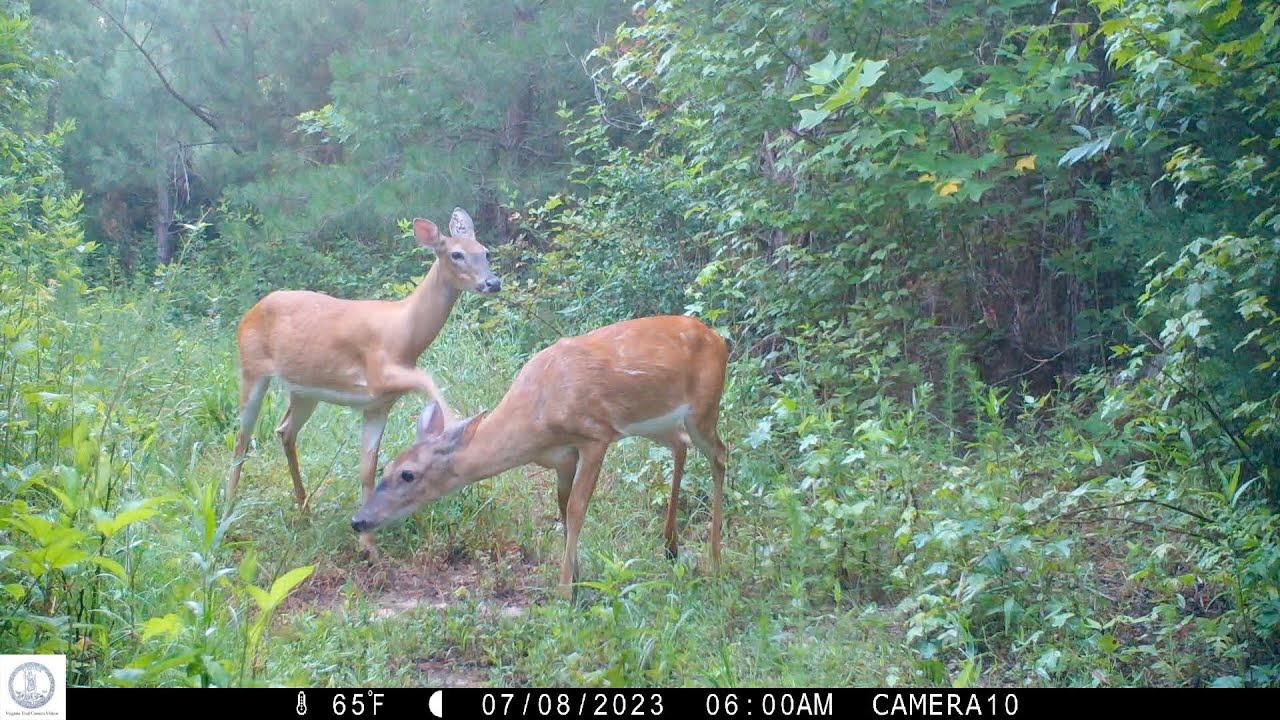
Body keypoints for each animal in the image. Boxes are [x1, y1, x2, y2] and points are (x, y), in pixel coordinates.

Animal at [227, 207, 500, 558]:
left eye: (485, 251)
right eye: (456, 254)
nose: (493, 282)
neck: (403, 333)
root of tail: (252, 310)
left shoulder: (378, 404)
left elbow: (367, 468)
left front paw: (368, 546)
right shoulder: (379, 372)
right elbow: (428, 378)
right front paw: (453, 425)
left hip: (303, 390)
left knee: (284, 430)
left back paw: (305, 511)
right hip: (252, 368)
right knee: (242, 437)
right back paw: (227, 512)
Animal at [349, 314, 729, 600]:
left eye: (408, 474)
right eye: (386, 467)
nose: (359, 520)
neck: (537, 419)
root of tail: (720, 341)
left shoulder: (596, 435)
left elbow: (576, 511)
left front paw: (564, 592)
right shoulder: (561, 457)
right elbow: (562, 508)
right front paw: (578, 579)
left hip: (703, 408)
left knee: (720, 455)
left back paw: (714, 560)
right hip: (656, 420)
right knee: (680, 444)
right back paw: (670, 546)